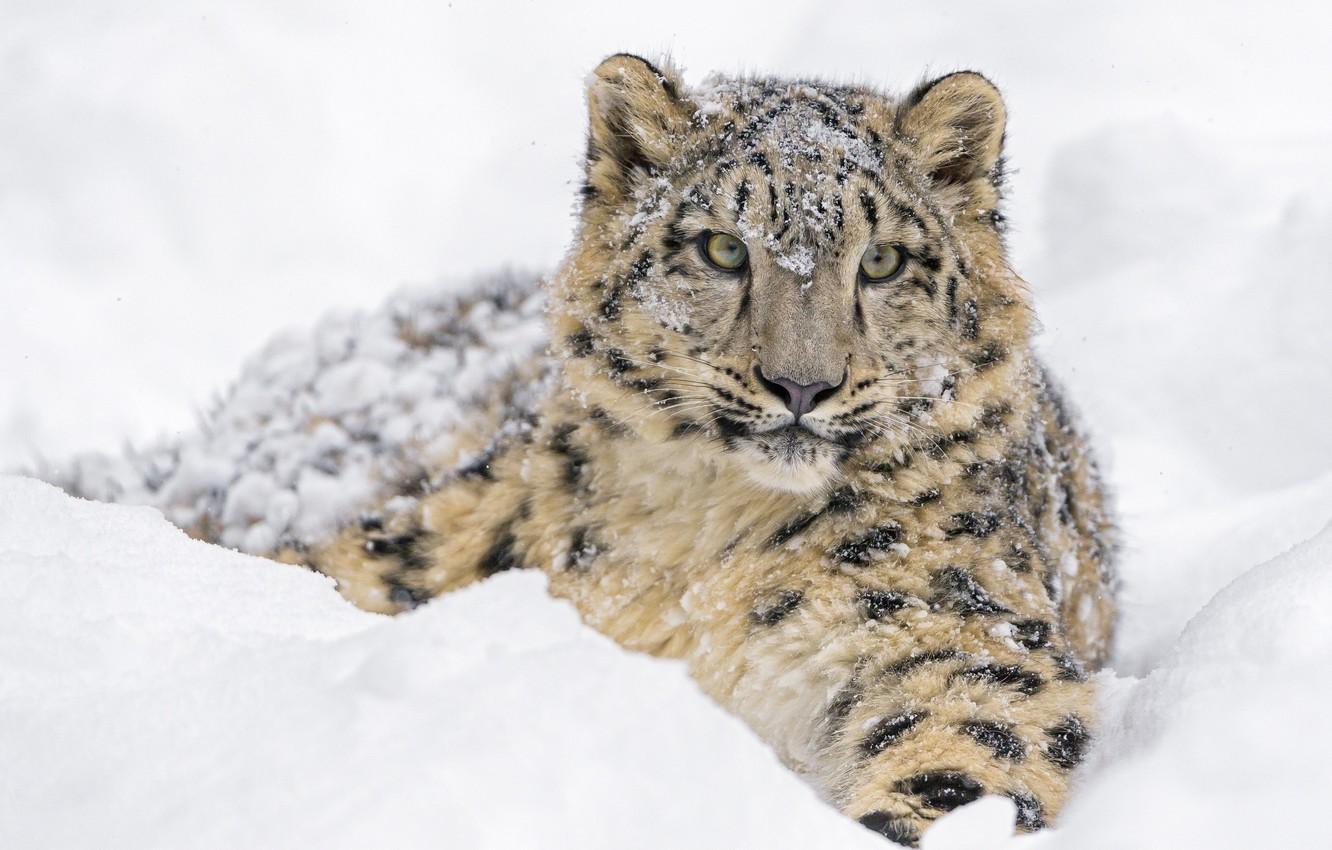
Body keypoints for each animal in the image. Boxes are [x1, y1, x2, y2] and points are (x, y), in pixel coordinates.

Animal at [48, 55, 1117, 845]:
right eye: (721, 249)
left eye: (884, 260)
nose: (802, 386)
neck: (703, 550)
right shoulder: (419, 558)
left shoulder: (965, 639)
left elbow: (965, 761)